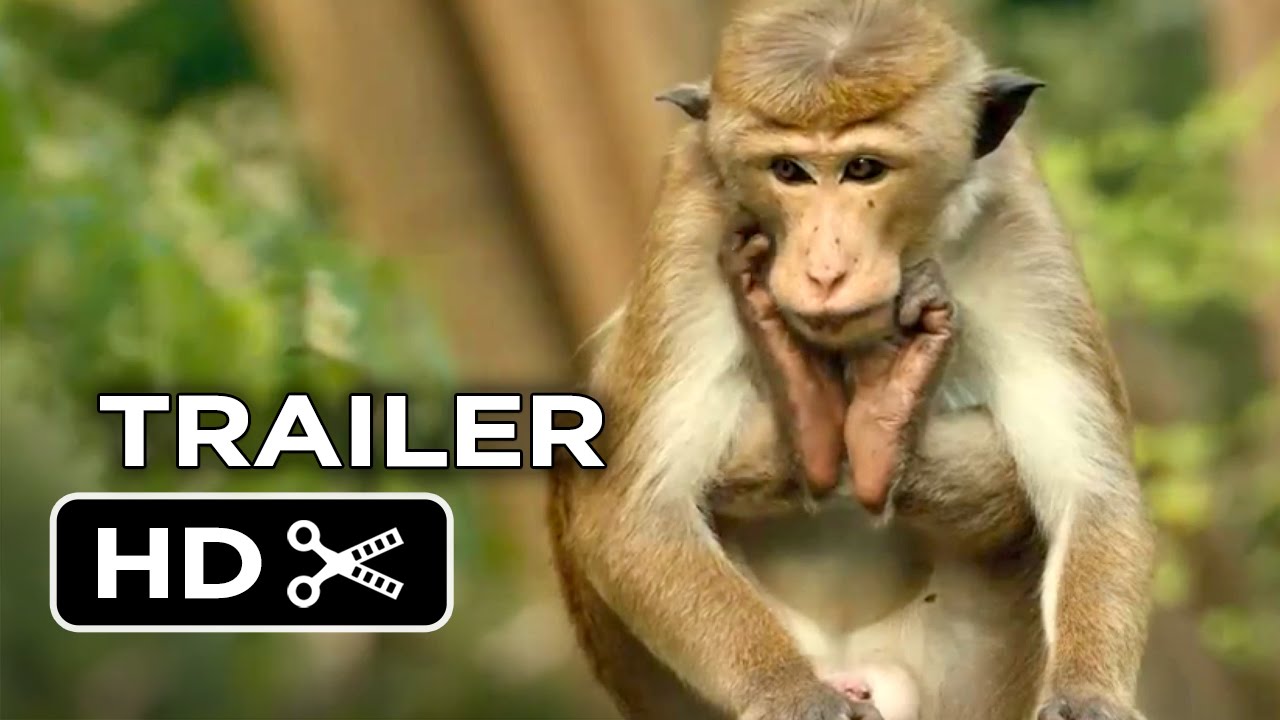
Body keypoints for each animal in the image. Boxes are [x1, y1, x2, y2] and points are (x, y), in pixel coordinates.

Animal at [548, 2, 1156, 719]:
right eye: (788, 171)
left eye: (865, 168)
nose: (824, 270)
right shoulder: (690, 216)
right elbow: (634, 512)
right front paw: (788, 692)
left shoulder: (1022, 228)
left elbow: (1093, 495)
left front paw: (1087, 697)